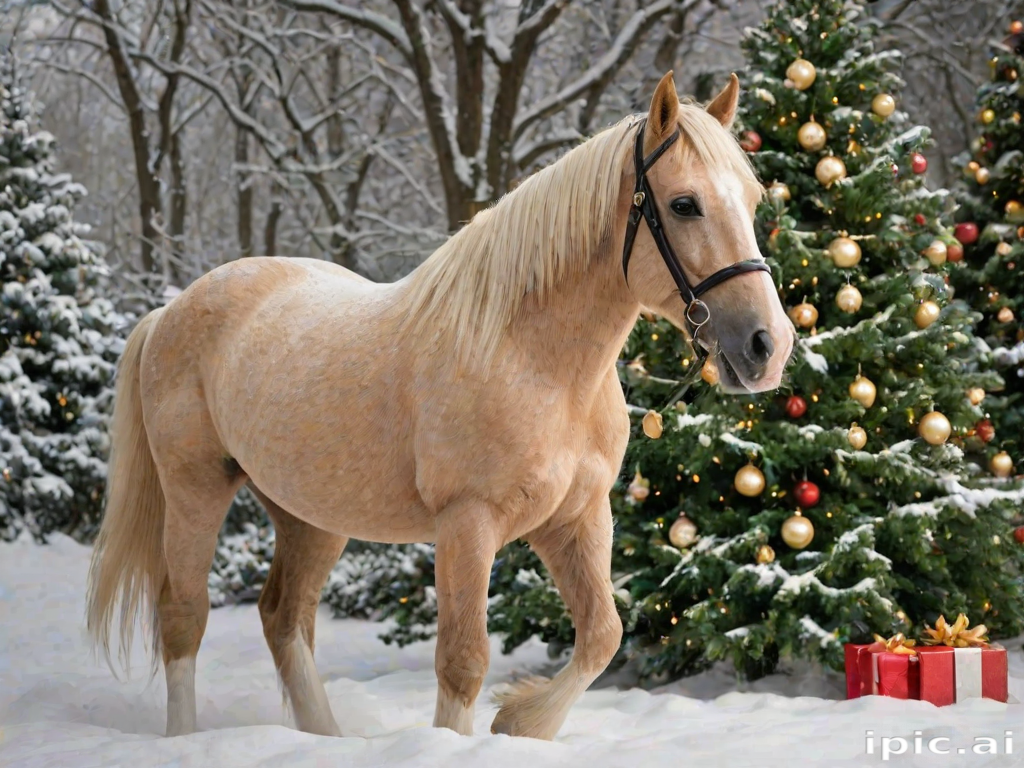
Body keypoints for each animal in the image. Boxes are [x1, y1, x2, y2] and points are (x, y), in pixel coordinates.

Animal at [87, 71, 794, 742]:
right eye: (684, 204)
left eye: (753, 200)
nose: (768, 345)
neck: (533, 362)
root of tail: (171, 310)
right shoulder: (467, 526)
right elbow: (463, 662)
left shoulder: (576, 519)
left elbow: (602, 636)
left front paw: (521, 722)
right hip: (196, 488)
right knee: (183, 615)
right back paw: (184, 736)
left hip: (311, 517)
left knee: (284, 618)